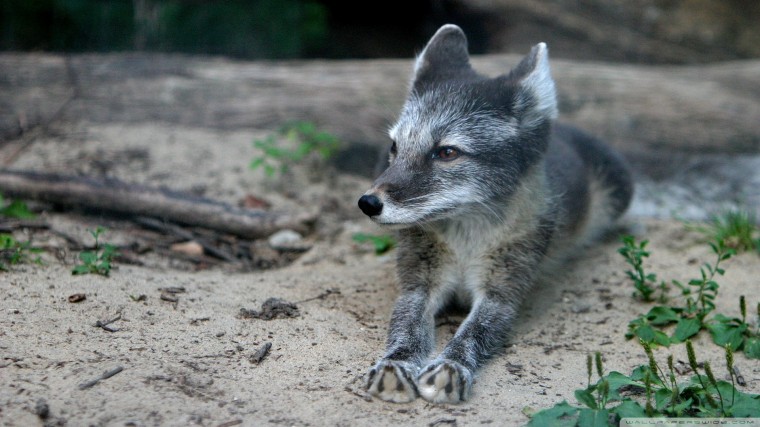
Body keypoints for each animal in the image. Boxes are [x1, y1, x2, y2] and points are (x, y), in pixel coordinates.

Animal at [356, 24, 634, 404]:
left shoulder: (503, 294)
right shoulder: (417, 285)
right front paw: (396, 363)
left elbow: (474, 331)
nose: (368, 203)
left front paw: (451, 365)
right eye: (395, 147)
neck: (466, 241)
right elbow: (405, 327)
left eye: (447, 152)